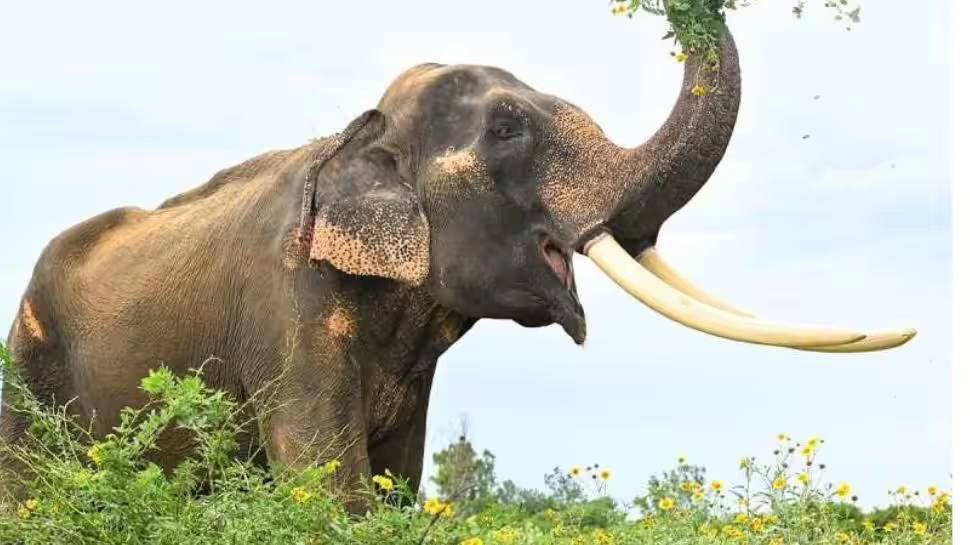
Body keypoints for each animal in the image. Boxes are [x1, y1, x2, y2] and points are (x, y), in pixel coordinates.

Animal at [1, 26, 914, 504]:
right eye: (507, 130)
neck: (359, 132)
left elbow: (395, 478)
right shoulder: (289, 306)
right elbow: (331, 482)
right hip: (28, 363)